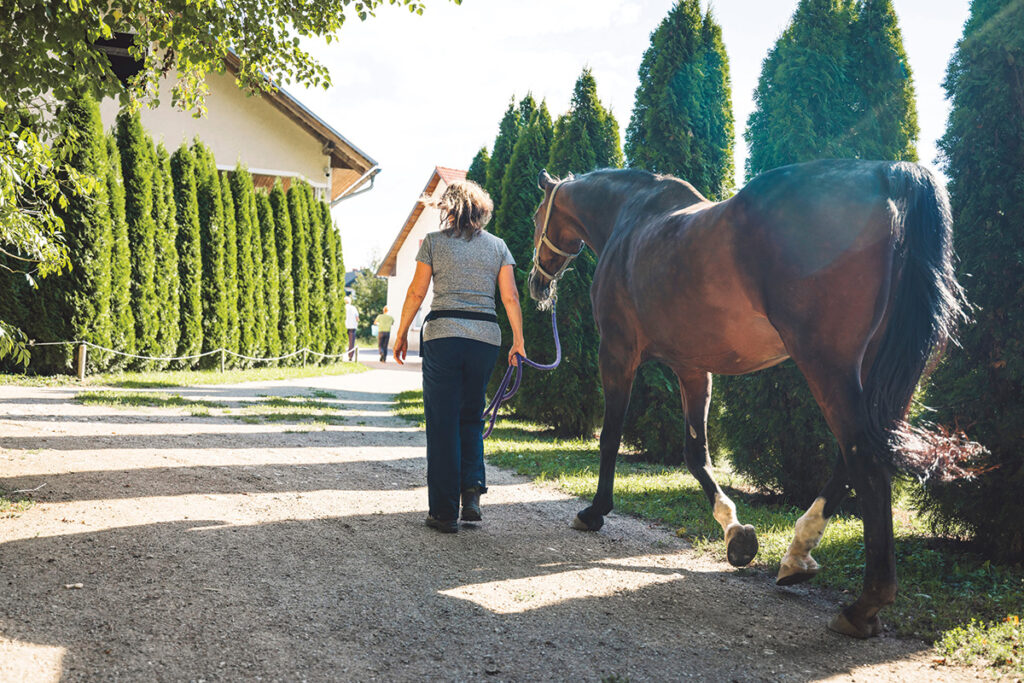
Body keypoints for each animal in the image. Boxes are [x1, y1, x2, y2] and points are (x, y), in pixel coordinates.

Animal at [527, 160, 967, 639]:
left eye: (536, 217)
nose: (535, 283)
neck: (632, 217)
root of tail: (885, 174)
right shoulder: (692, 368)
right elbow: (696, 454)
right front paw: (734, 532)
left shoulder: (617, 355)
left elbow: (610, 438)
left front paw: (594, 512)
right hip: (876, 374)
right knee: (850, 458)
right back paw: (796, 555)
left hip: (827, 364)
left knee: (865, 462)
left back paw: (863, 605)